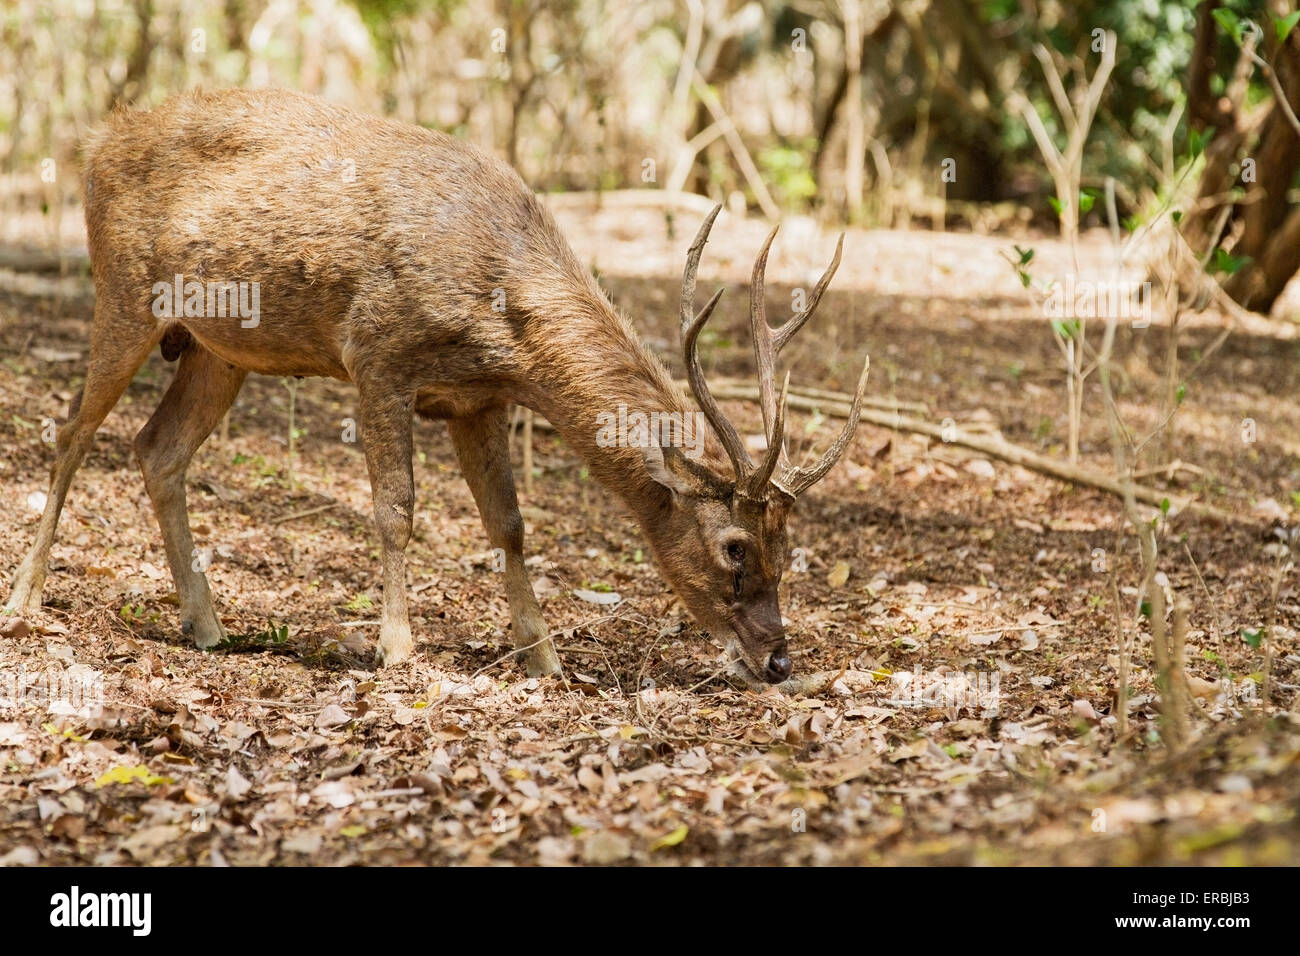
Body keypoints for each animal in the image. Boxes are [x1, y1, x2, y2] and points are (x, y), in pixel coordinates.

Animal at [4, 89, 869, 685]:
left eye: (790, 547)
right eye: (733, 546)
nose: (778, 661)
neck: (500, 306)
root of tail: (95, 141)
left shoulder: (478, 398)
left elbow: (510, 524)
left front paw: (544, 656)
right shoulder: (377, 351)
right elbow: (397, 507)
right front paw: (396, 645)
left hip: (222, 352)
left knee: (157, 449)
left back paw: (206, 623)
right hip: (123, 291)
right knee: (74, 433)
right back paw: (27, 601)